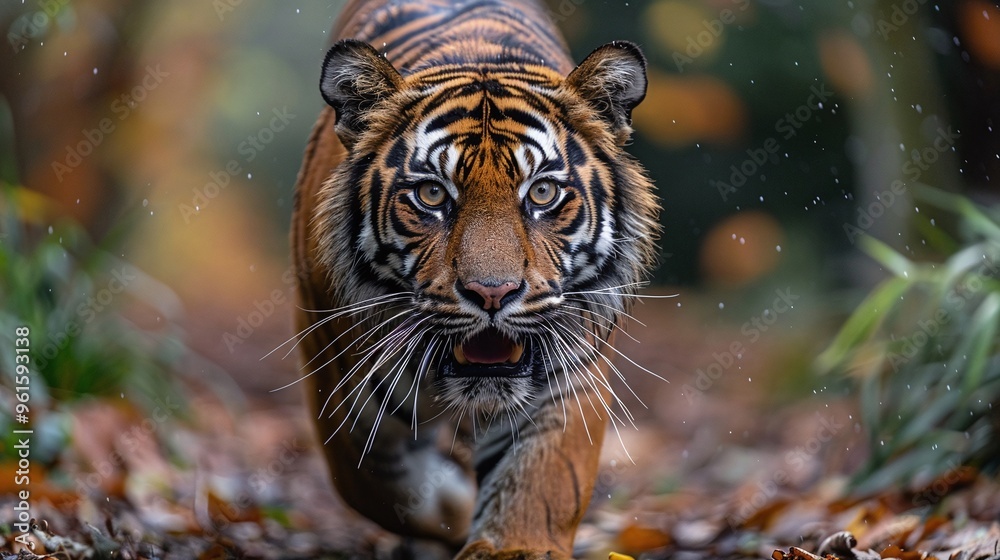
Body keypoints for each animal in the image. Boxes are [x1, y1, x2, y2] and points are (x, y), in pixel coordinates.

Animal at [290, 0, 660, 557]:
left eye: (543, 192)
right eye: (432, 195)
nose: (493, 293)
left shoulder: (568, 377)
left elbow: (541, 478)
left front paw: (515, 545)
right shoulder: (343, 395)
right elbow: (382, 488)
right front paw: (457, 513)